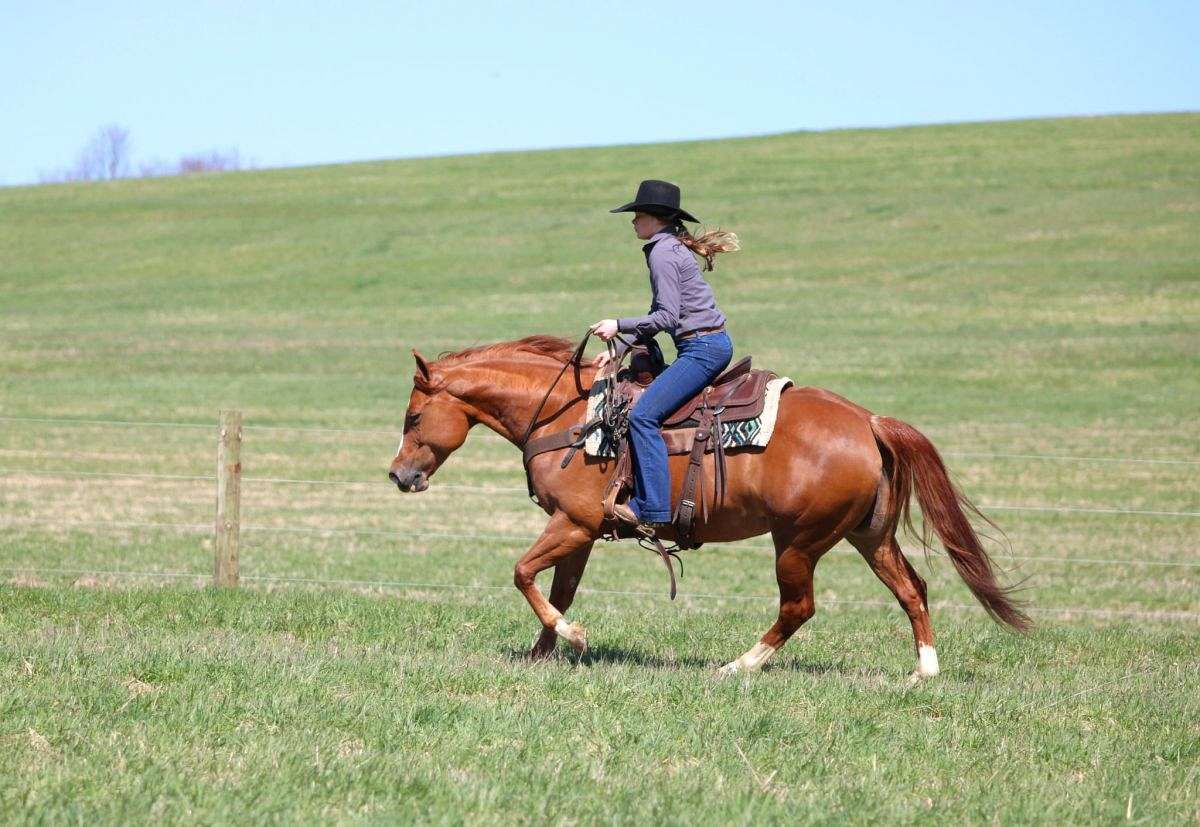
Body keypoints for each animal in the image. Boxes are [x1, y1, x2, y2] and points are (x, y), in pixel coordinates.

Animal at [388, 335, 1028, 679]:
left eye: (414, 417)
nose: (399, 475)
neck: (571, 414)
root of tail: (868, 421)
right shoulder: (582, 531)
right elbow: (558, 589)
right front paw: (545, 652)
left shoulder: (573, 522)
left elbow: (523, 573)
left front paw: (571, 638)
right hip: (869, 536)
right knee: (911, 589)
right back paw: (924, 671)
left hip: (798, 542)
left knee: (798, 607)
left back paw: (738, 667)